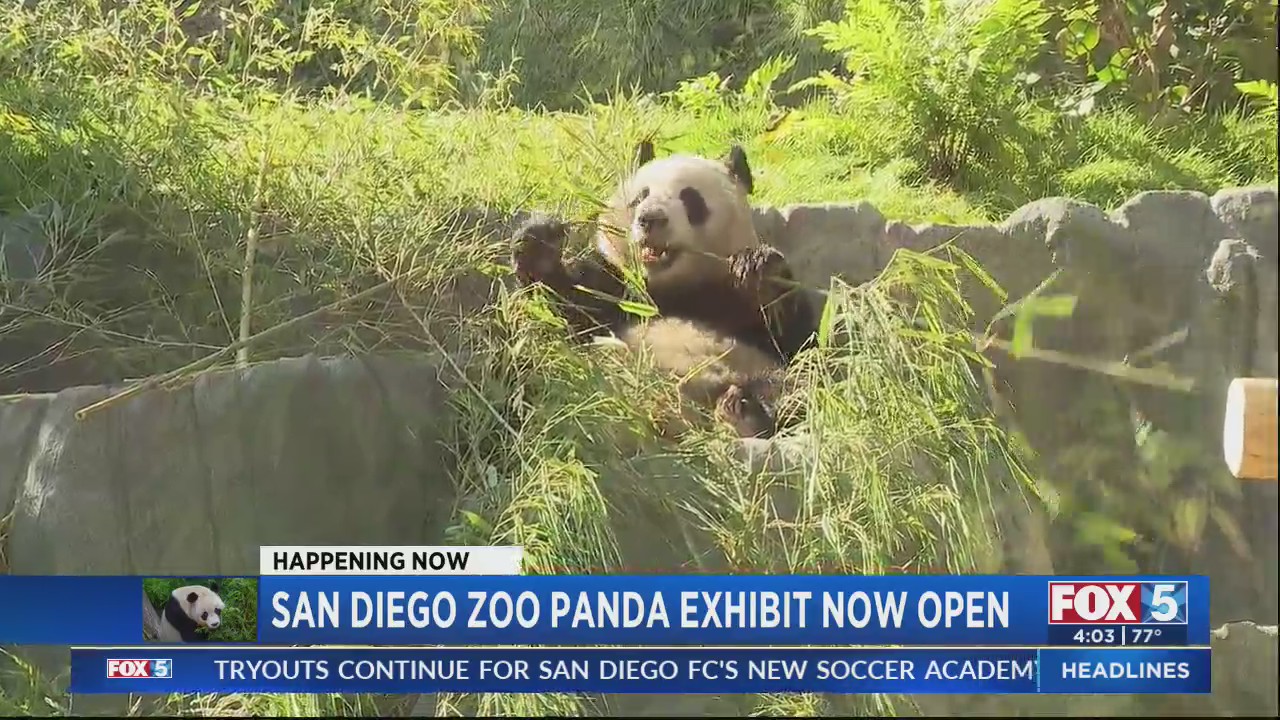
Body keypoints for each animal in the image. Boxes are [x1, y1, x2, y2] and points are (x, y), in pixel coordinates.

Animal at [511, 140, 818, 438]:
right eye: (640, 197)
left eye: (692, 199)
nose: (651, 218)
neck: (669, 290)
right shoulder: (615, 290)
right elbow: (570, 310)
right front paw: (540, 243)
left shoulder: (732, 303)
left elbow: (795, 339)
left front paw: (758, 268)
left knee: (793, 387)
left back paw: (746, 411)